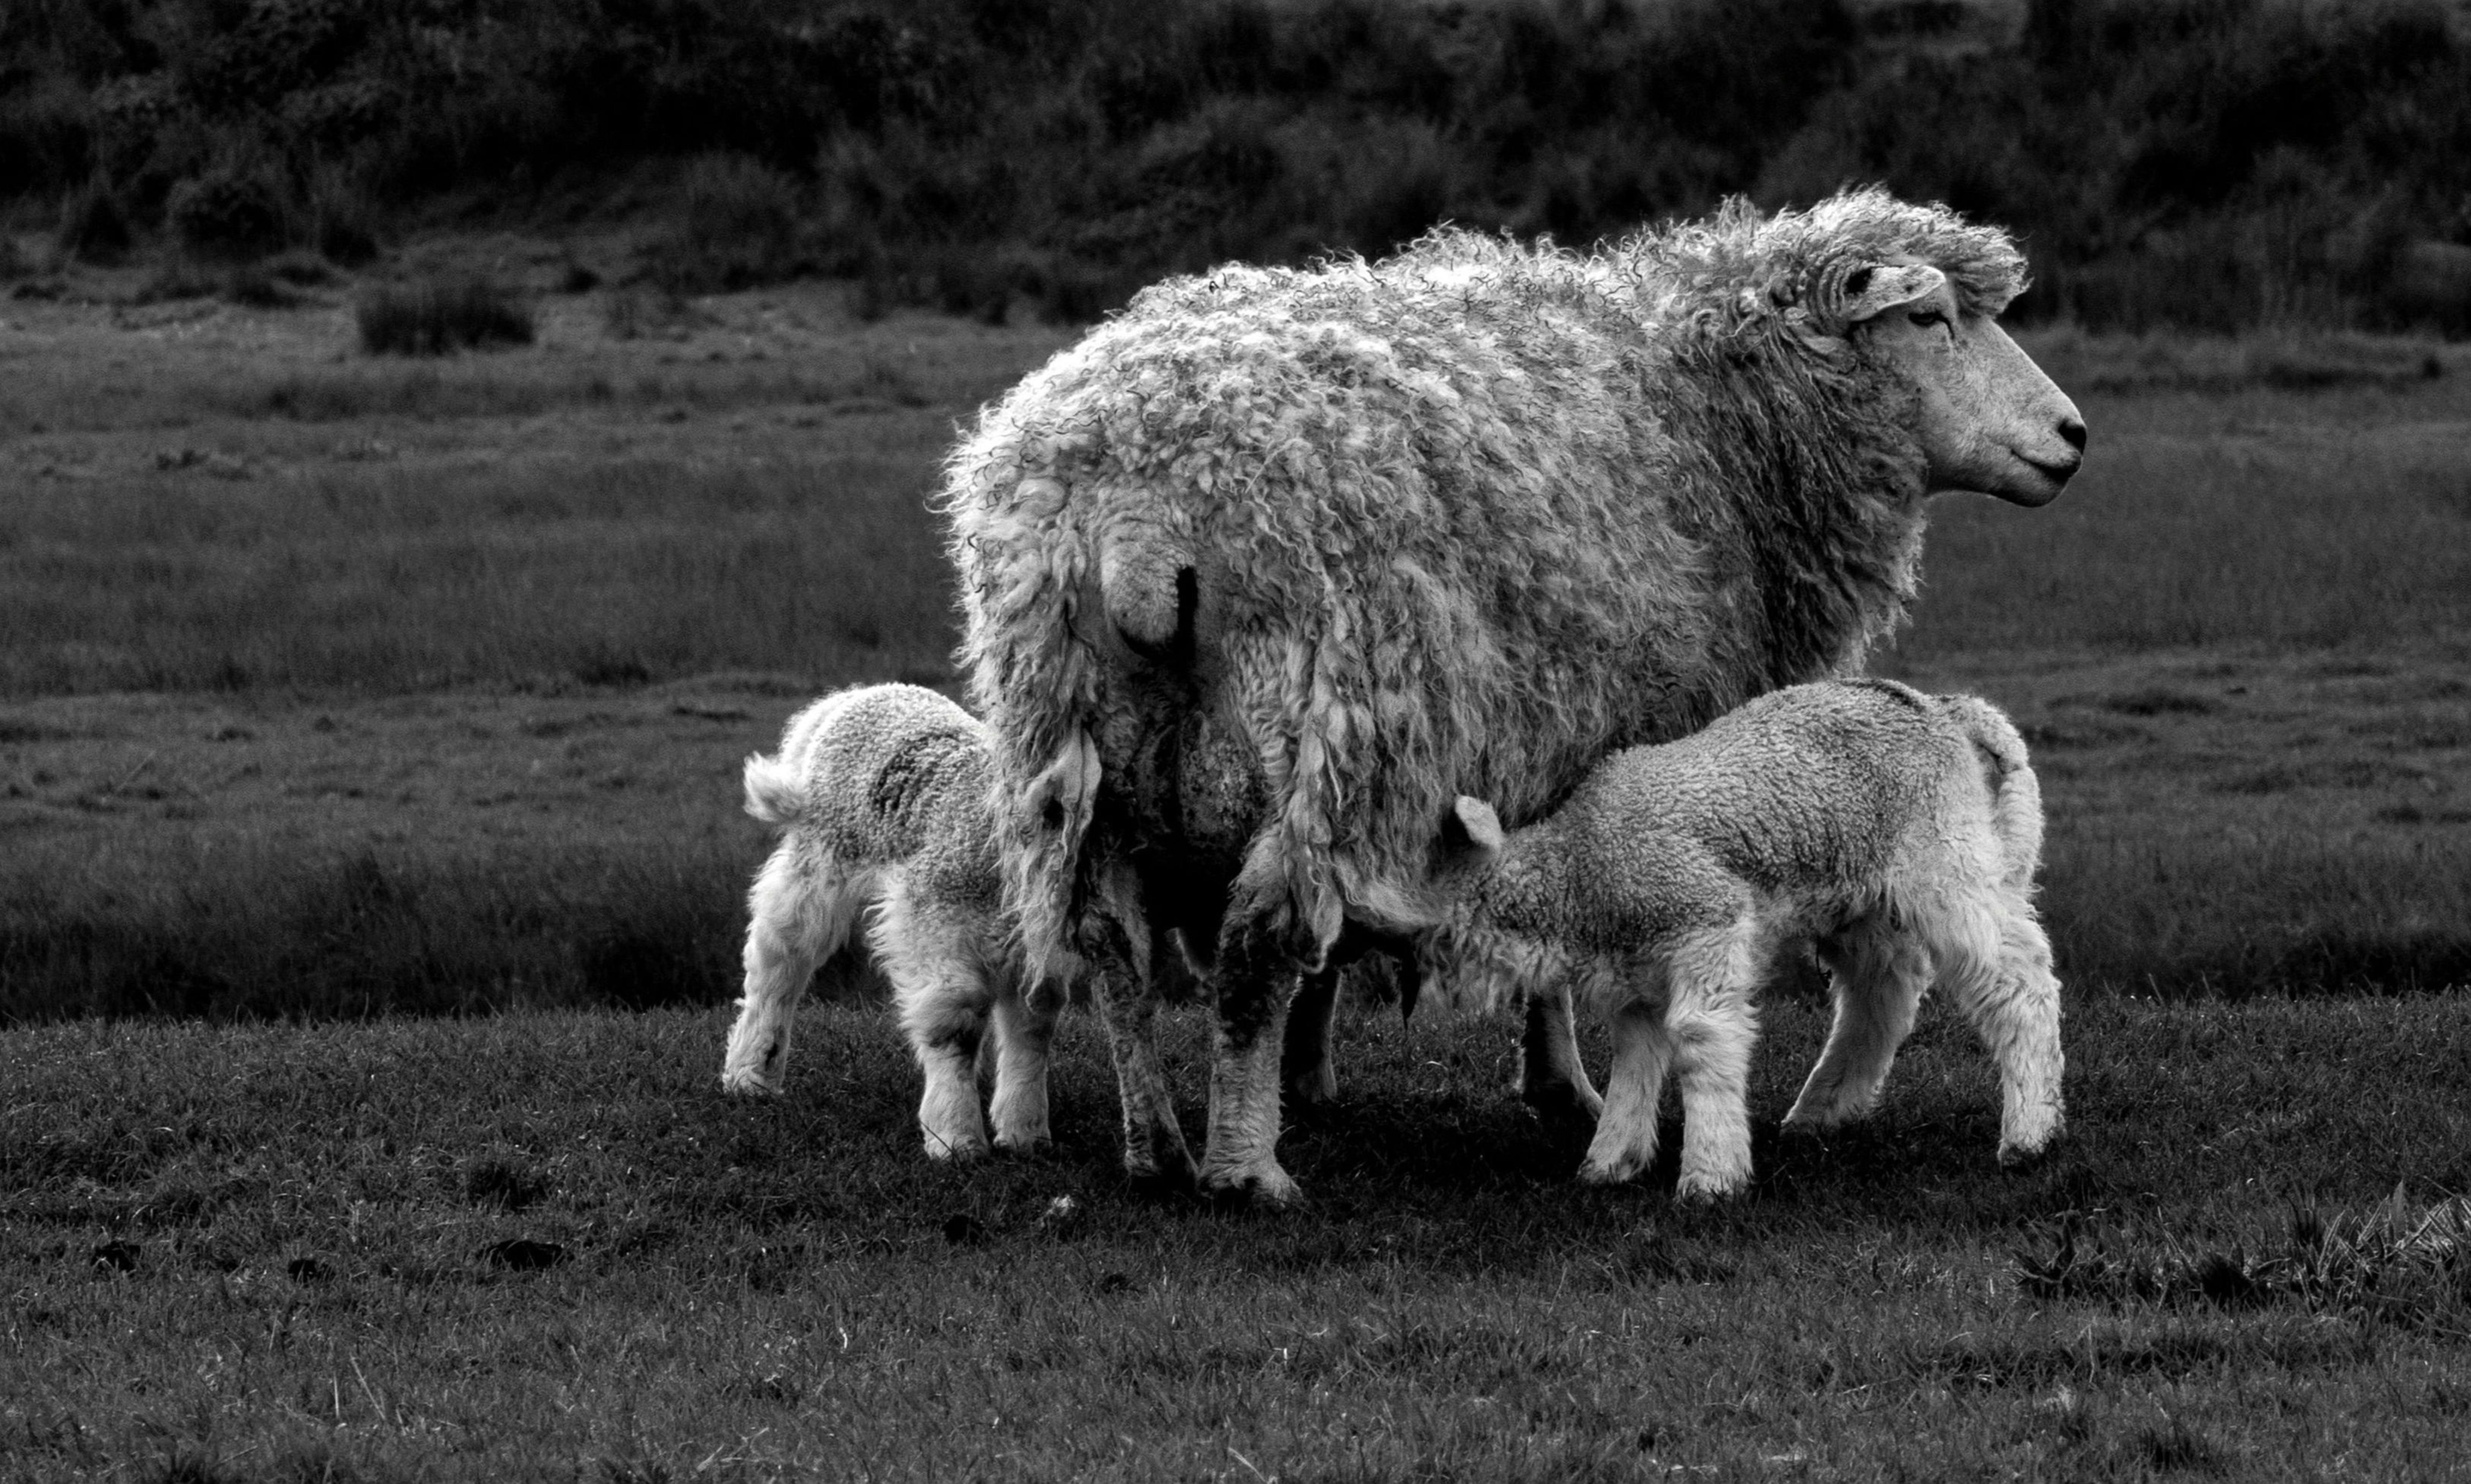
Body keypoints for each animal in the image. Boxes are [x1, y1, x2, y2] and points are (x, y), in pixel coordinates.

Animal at [720, 684, 1059, 1162]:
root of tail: (852, 696)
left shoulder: (1033, 950)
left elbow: (1033, 1026)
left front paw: (1026, 1131)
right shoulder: (936, 919)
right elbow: (954, 1025)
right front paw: (955, 1137)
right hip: (819, 857)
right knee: (780, 957)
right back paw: (753, 1073)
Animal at [1427, 678, 2064, 1198]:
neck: (1579, 868)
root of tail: (1939, 706)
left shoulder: (1708, 918)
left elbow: (1701, 1036)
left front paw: (1710, 1176)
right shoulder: (1637, 967)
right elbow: (1635, 1055)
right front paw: (1610, 1161)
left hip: (1943, 855)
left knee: (2018, 976)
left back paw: (2031, 1134)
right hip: (1859, 893)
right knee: (1884, 991)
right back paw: (1820, 1110)